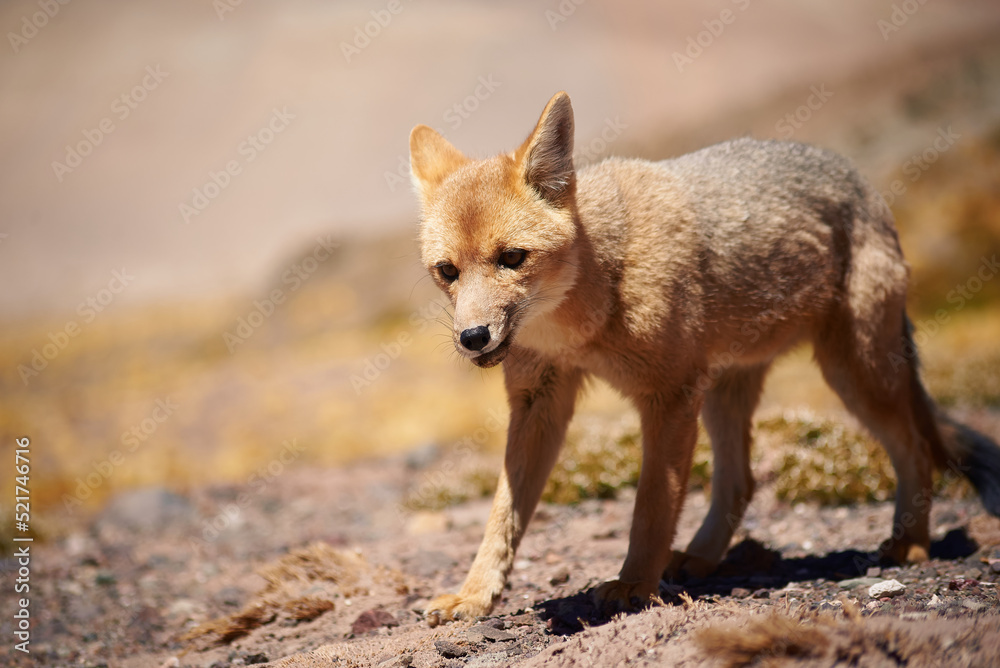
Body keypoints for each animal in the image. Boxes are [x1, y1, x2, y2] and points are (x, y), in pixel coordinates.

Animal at [408, 91, 1000, 625]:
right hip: (727, 393)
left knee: (916, 447)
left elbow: (651, 504)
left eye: (512, 258)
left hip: (854, 374)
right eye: (447, 271)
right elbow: (501, 515)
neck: (594, 299)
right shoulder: (539, 404)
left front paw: (633, 586)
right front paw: (474, 595)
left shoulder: (669, 396)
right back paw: (700, 557)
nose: (473, 337)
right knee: (742, 482)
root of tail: (863, 184)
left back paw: (910, 545)